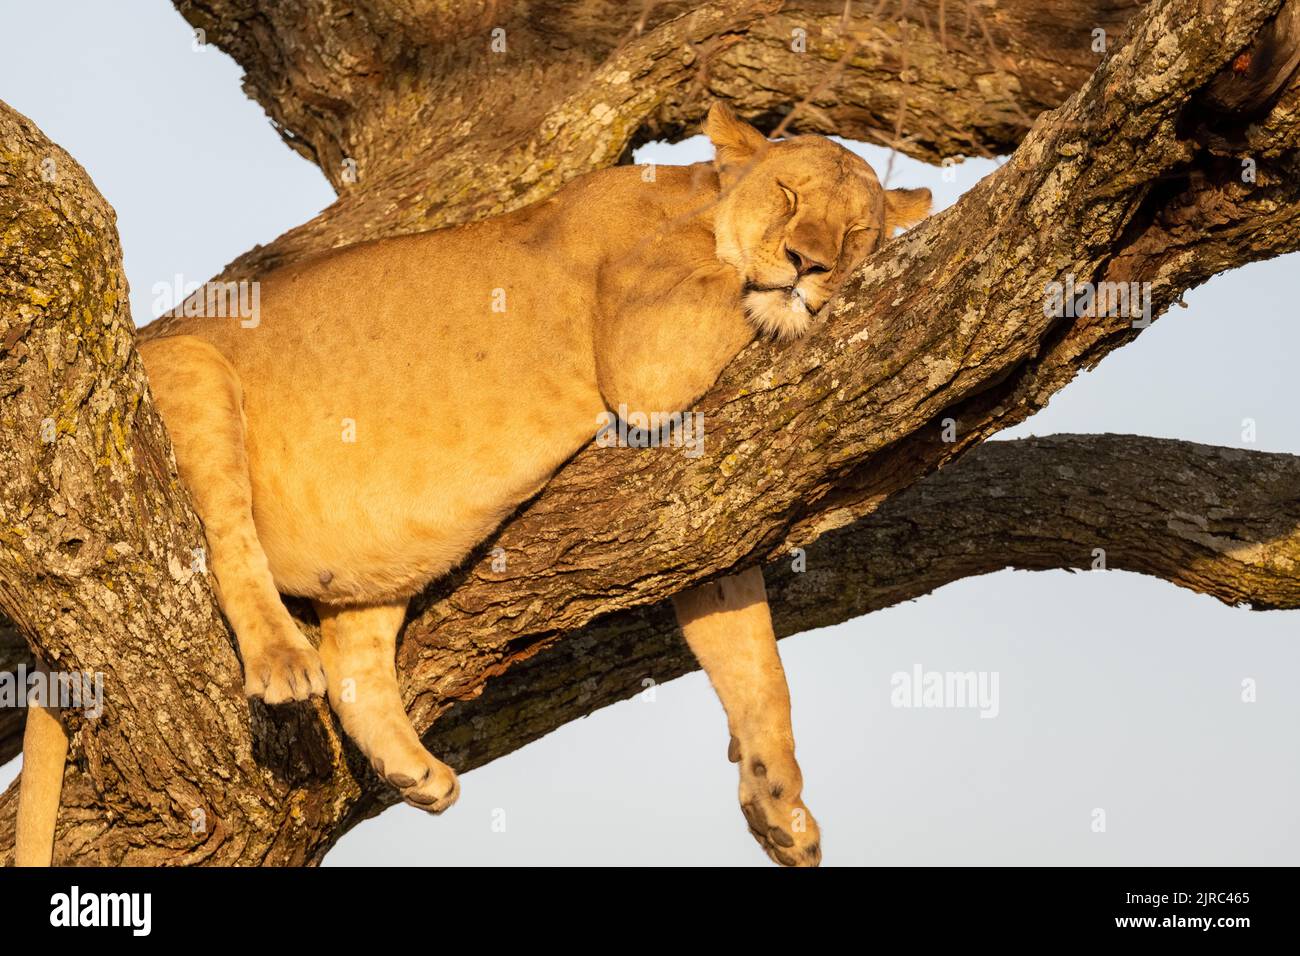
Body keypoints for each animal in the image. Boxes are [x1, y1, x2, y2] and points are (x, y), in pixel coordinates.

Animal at [15, 103, 930, 867]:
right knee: (234, 555)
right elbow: (721, 288)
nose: (810, 265)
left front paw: (781, 809)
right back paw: (280, 662)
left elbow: (753, 663)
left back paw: (412, 767)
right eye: (786, 193)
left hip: (380, 551)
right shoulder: (645, 357)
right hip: (193, 369)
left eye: (857, 231)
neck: (697, 197)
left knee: (353, 656)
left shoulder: (704, 523)